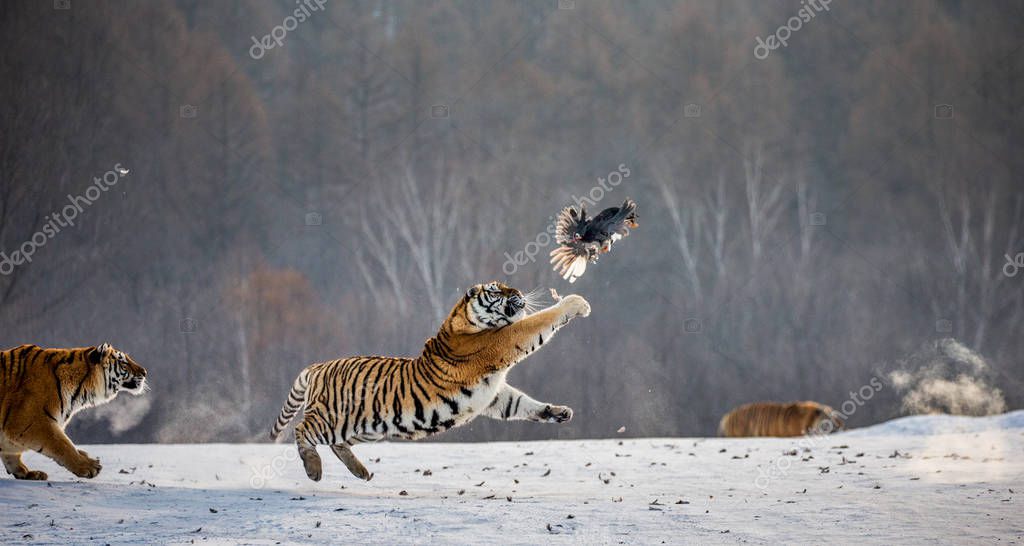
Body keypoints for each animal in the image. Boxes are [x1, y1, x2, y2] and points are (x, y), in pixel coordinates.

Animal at [0, 343, 147, 480]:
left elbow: (11, 454)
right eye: (124, 363)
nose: (145, 372)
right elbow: (62, 443)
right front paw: (89, 466)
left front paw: (27, 473)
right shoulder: (29, 421)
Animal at [270, 281, 591, 482]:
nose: (519, 291)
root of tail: (318, 366)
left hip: (366, 427)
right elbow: (538, 322)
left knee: (336, 444)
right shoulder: (502, 342)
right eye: (496, 290)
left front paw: (558, 412)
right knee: (301, 429)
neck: (468, 323)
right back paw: (313, 470)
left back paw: (362, 472)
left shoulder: (494, 394)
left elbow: (521, 404)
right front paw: (577, 303)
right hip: (334, 418)